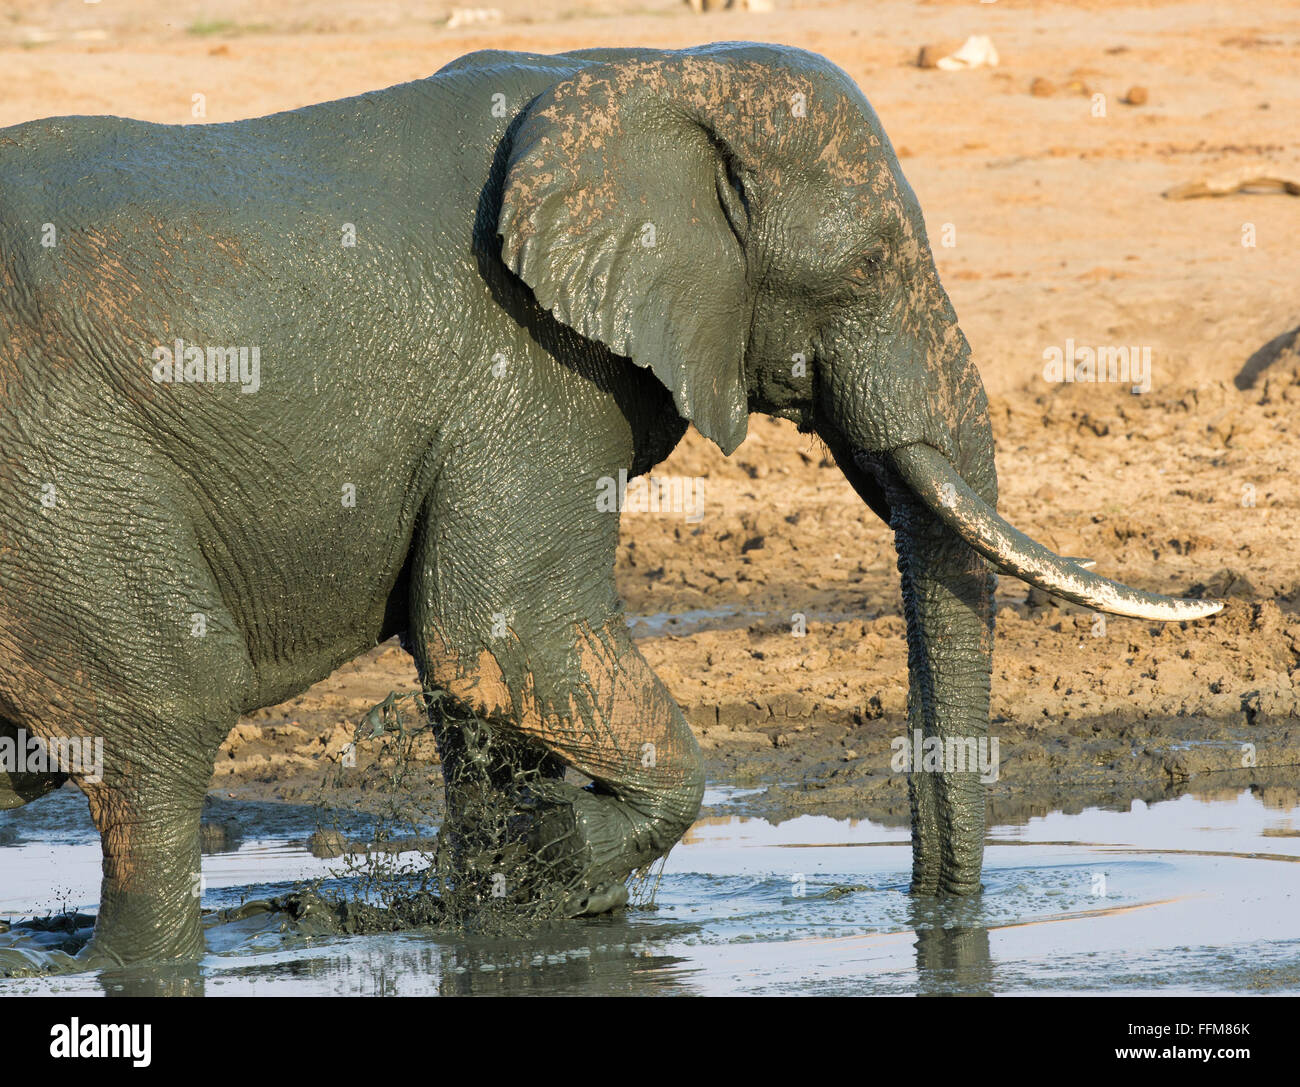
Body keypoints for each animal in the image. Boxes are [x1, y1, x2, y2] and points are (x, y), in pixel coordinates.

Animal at [0, 43, 1220, 970]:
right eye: (872, 262)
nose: (942, 910)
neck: (645, 74)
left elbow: (487, 679)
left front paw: (507, 886)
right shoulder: (528, 372)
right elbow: (502, 634)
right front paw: (544, 863)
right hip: (57, 474)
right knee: (163, 713)